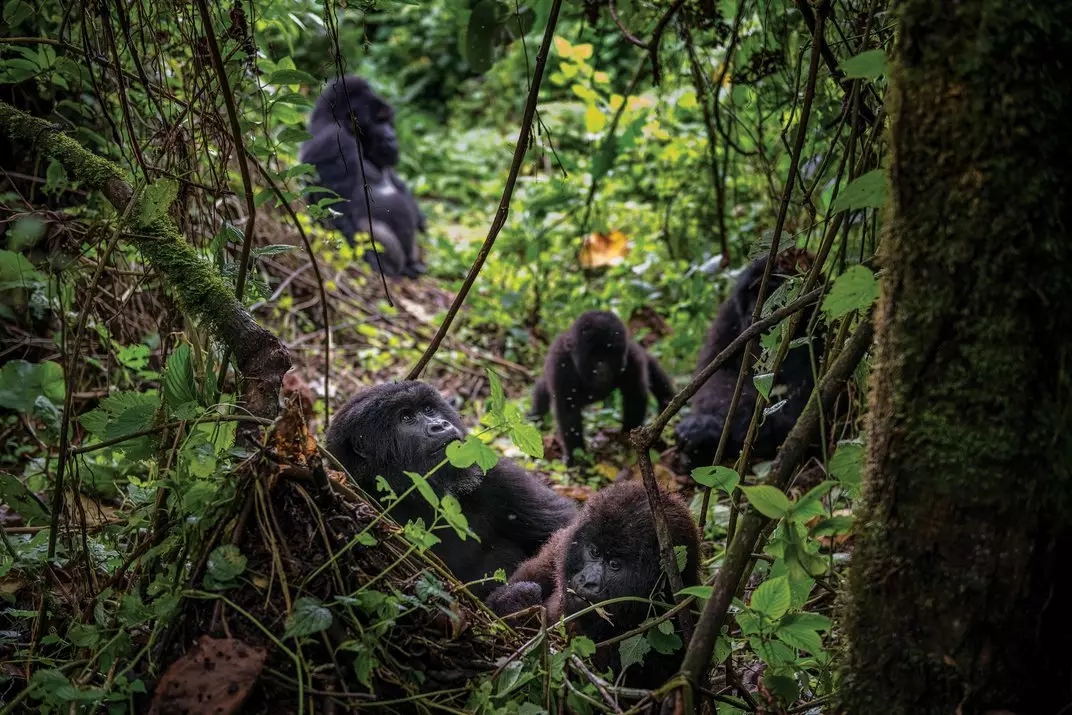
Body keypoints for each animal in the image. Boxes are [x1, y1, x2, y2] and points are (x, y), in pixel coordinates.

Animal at [300, 76, 424, 278]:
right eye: (378, 121)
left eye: (388, 120)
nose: (392, 137)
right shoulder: (334, 143)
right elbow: (336, 211)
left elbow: (399, 184)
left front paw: (421, 218)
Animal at [531, 310, 673, 467]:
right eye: (593, 355)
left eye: (610, 354)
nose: (603, 371)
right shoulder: (560, 363)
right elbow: (568, 411)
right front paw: (577, 458)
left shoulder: (631, 357)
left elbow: (634, 395)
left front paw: (626, 441)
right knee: (542, 390)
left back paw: (666, 401)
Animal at [673, 254, 823, 471]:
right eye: (761, 293)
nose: (771, 315)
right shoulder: (728, 314)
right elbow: (718, 375)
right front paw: (702, 428)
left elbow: (802, 407)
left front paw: (706, 431)